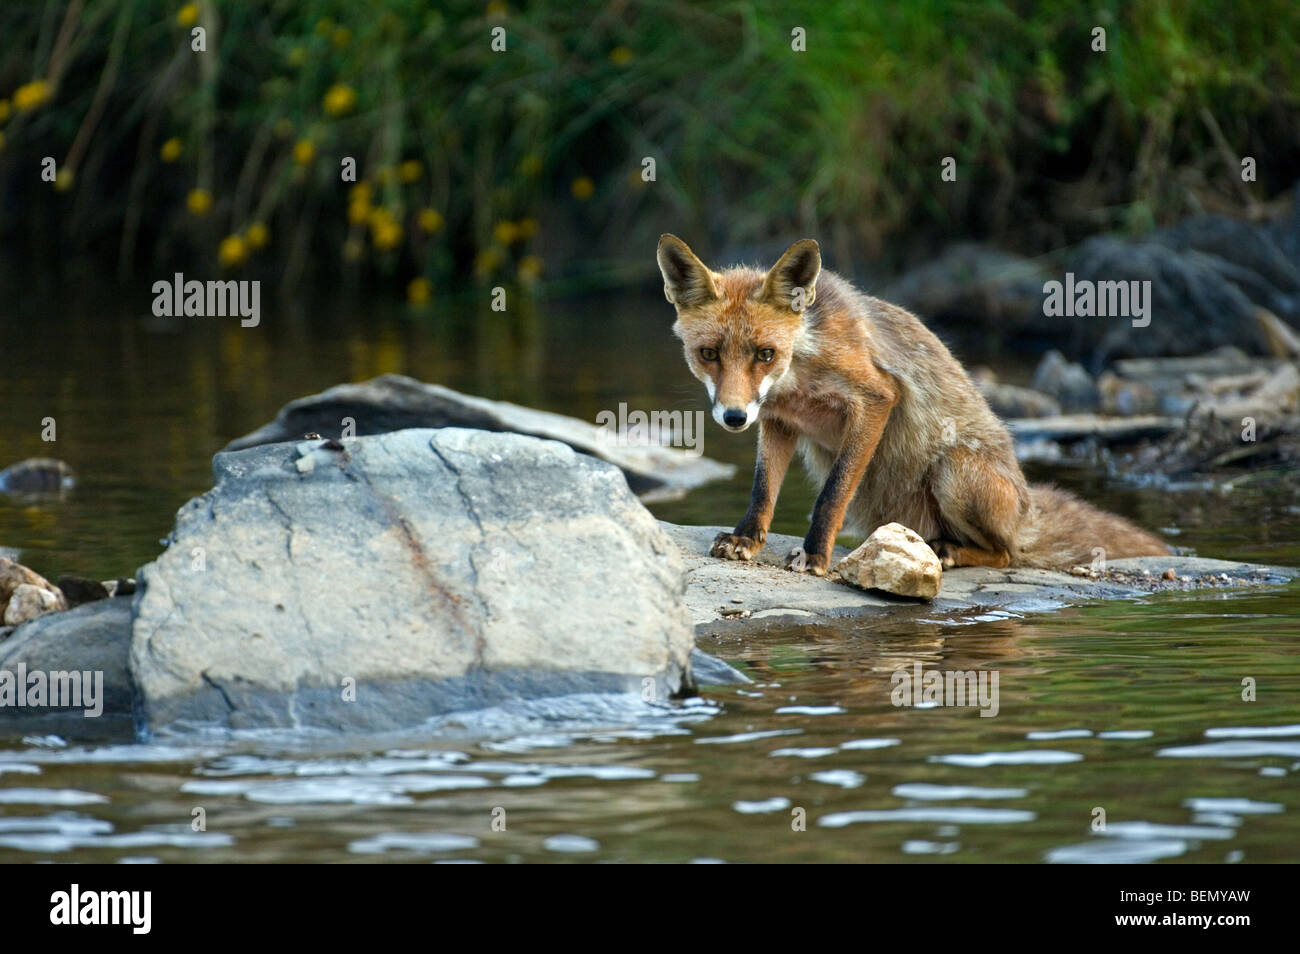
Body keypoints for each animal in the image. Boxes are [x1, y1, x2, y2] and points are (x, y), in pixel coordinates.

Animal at [656, 234, 1170, 576]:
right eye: (708, 354)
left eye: (765, 354)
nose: (734, 417)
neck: (799, 370)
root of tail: (1028, 511)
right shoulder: (779, 420)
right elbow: (762, 490)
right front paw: (746, 539)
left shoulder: (876, 397)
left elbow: (832, 494)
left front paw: (816, 555)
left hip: (953, 471)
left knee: (1007, 553)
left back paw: (950, 551)